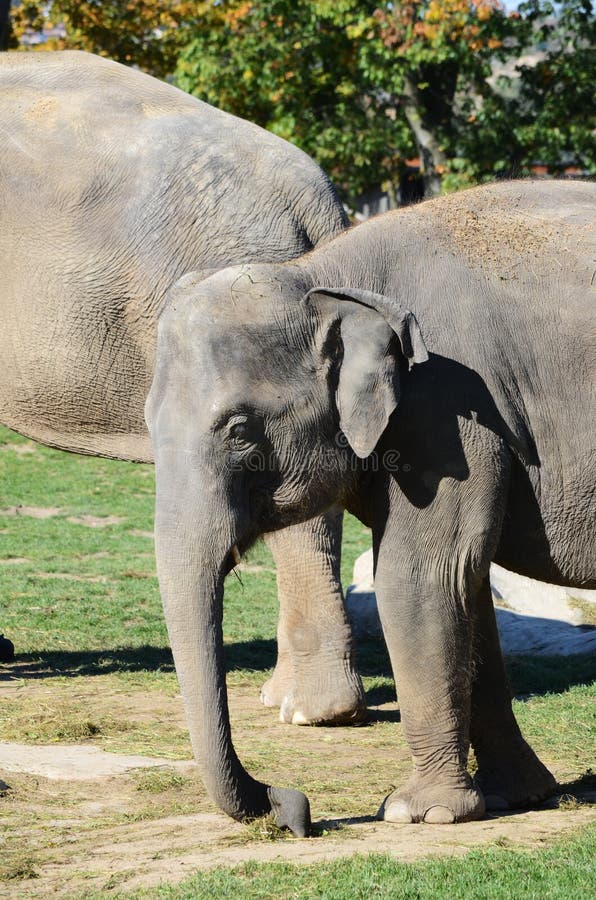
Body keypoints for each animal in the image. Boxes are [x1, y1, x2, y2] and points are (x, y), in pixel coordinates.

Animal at [146, 179, 595, 835]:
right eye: (147, 425)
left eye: (239, 430)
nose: (294, 806)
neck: (322, 276)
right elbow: (466, 584)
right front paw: (514, 796)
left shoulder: (449, 407)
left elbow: (420, 575)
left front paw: (417, 812)